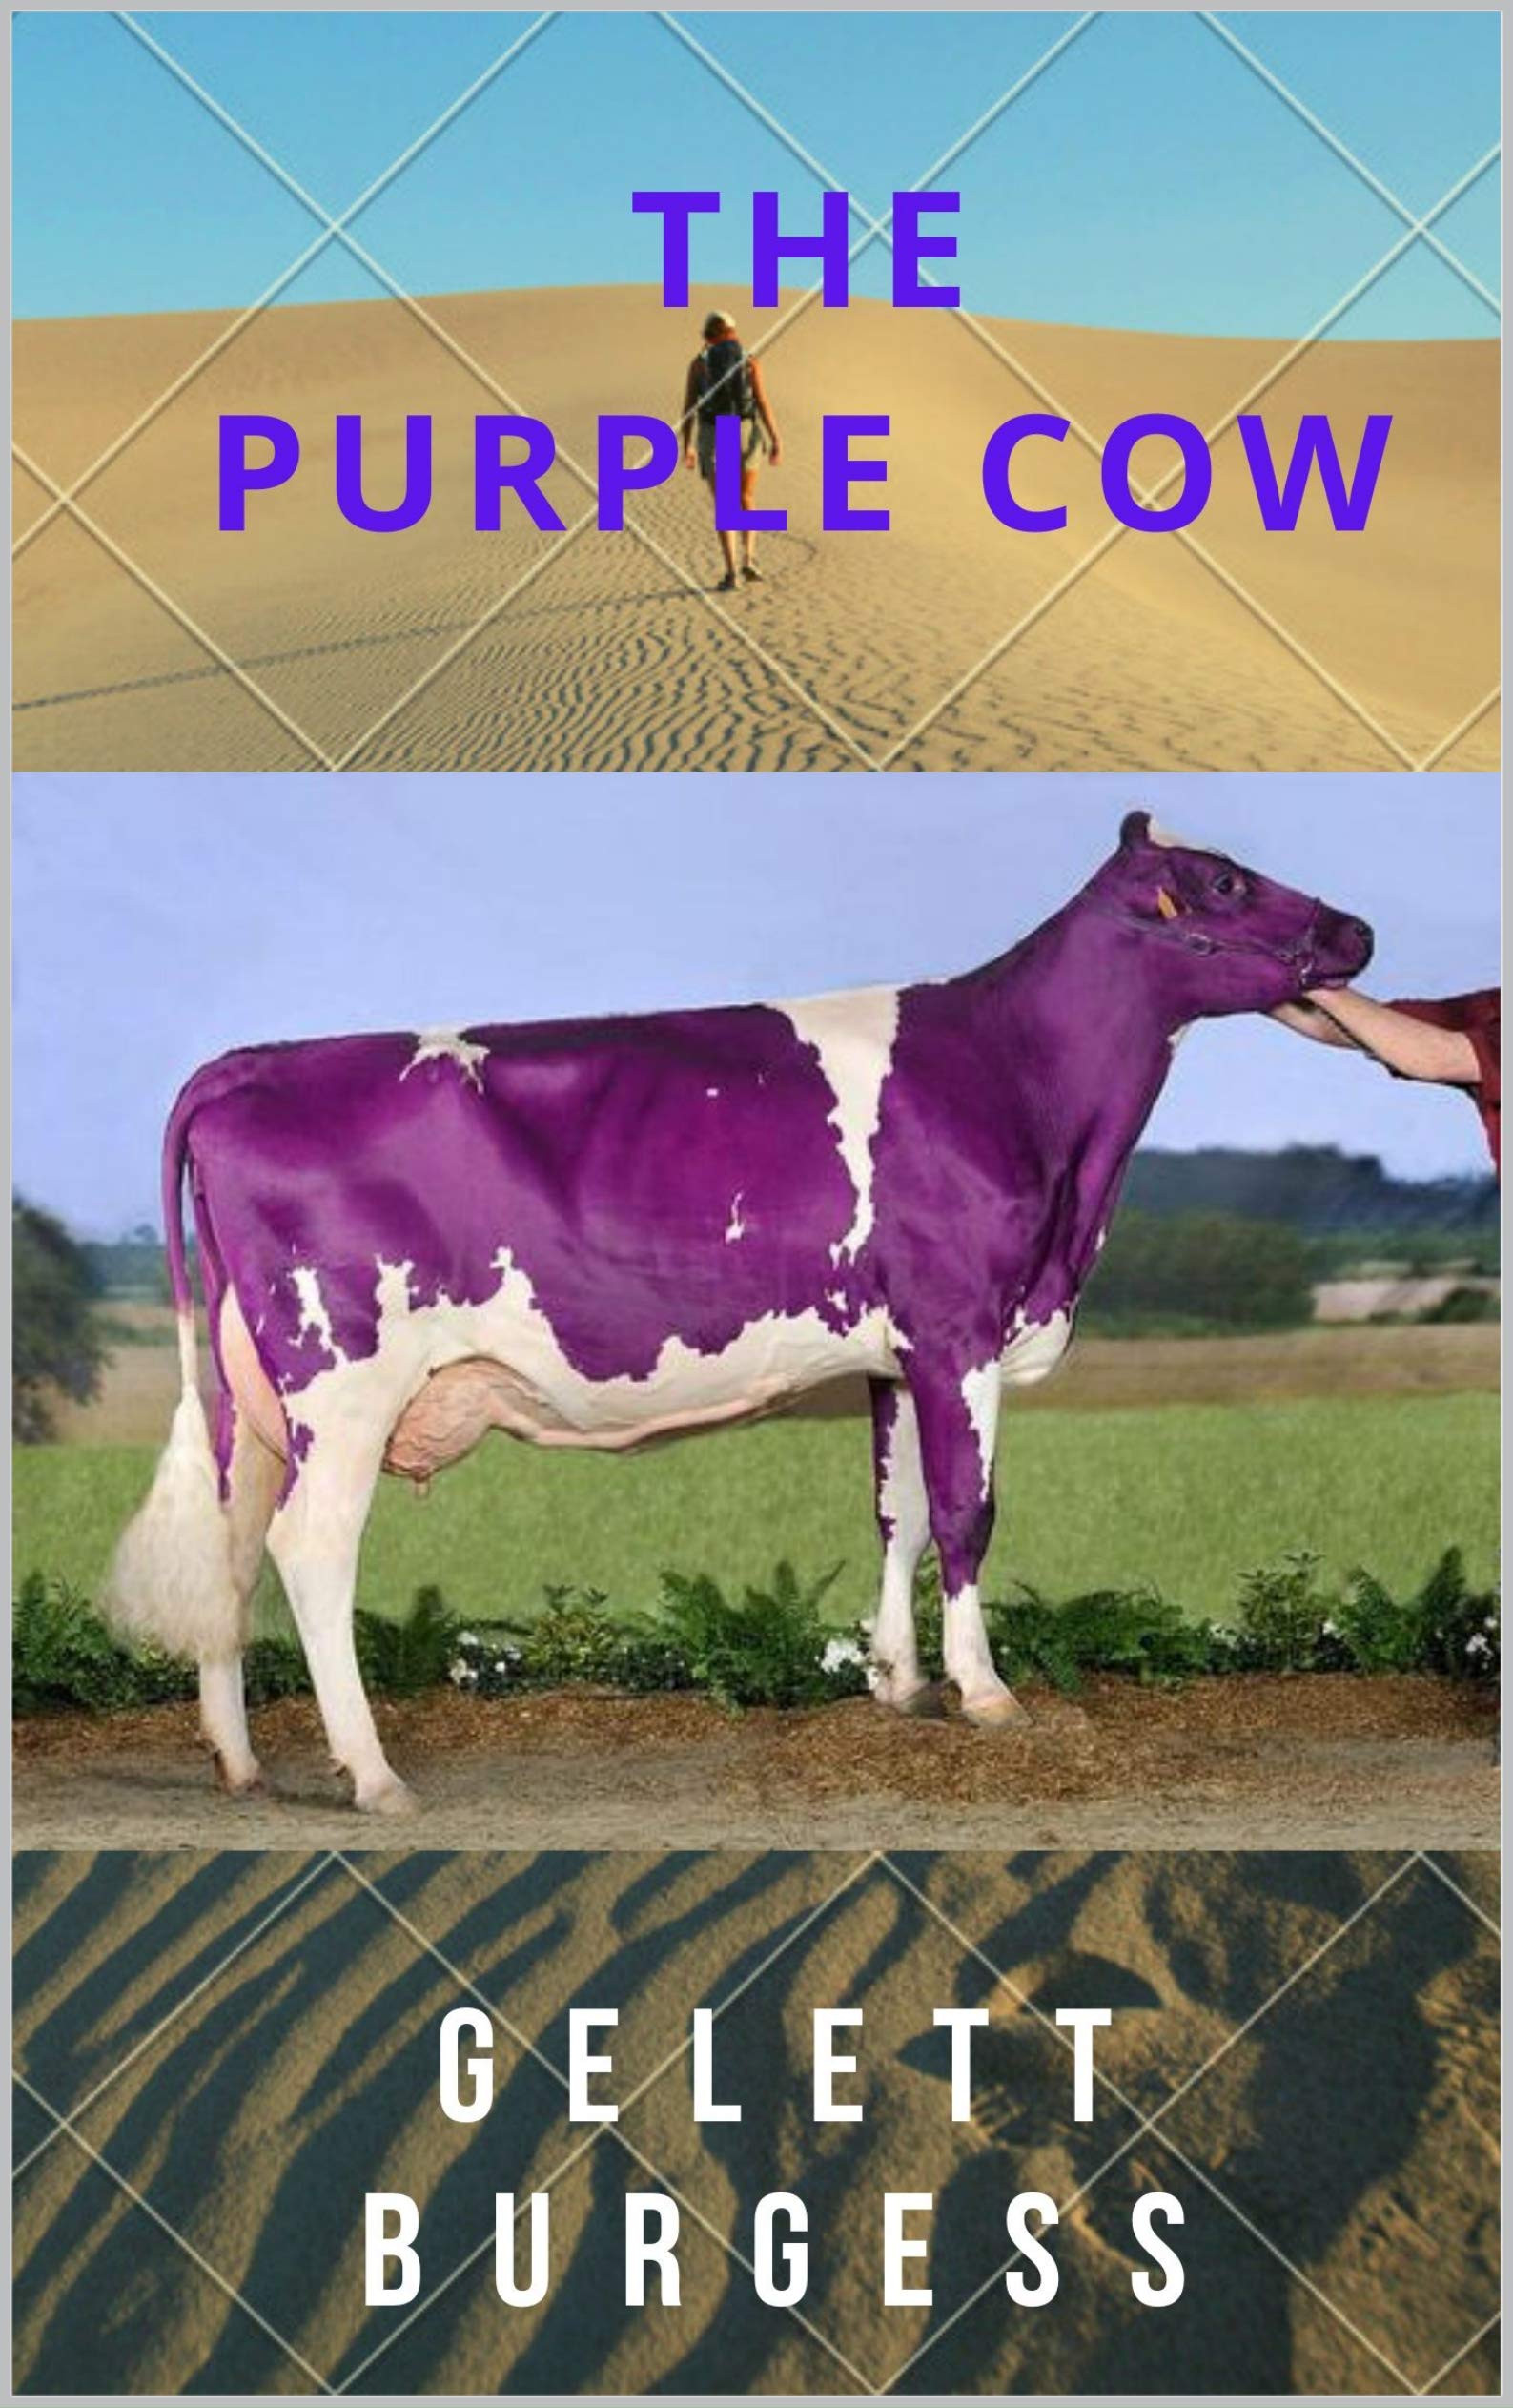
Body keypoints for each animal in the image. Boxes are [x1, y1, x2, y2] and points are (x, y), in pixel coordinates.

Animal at [105, 812, 1372, 1811]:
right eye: (1223, 882)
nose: (1359, 930)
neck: (1023, 1092)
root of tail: (248, 1064)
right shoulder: (959, 1325)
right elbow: (969, 1513)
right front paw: (986, 1694)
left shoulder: (895, 1349)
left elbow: (900, 1513)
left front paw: (898, 1686)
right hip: (347, 1377)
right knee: (311, 1547)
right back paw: (373, 1775)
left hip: (254, 1399)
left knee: (229, 1543)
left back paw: (238, 1760)